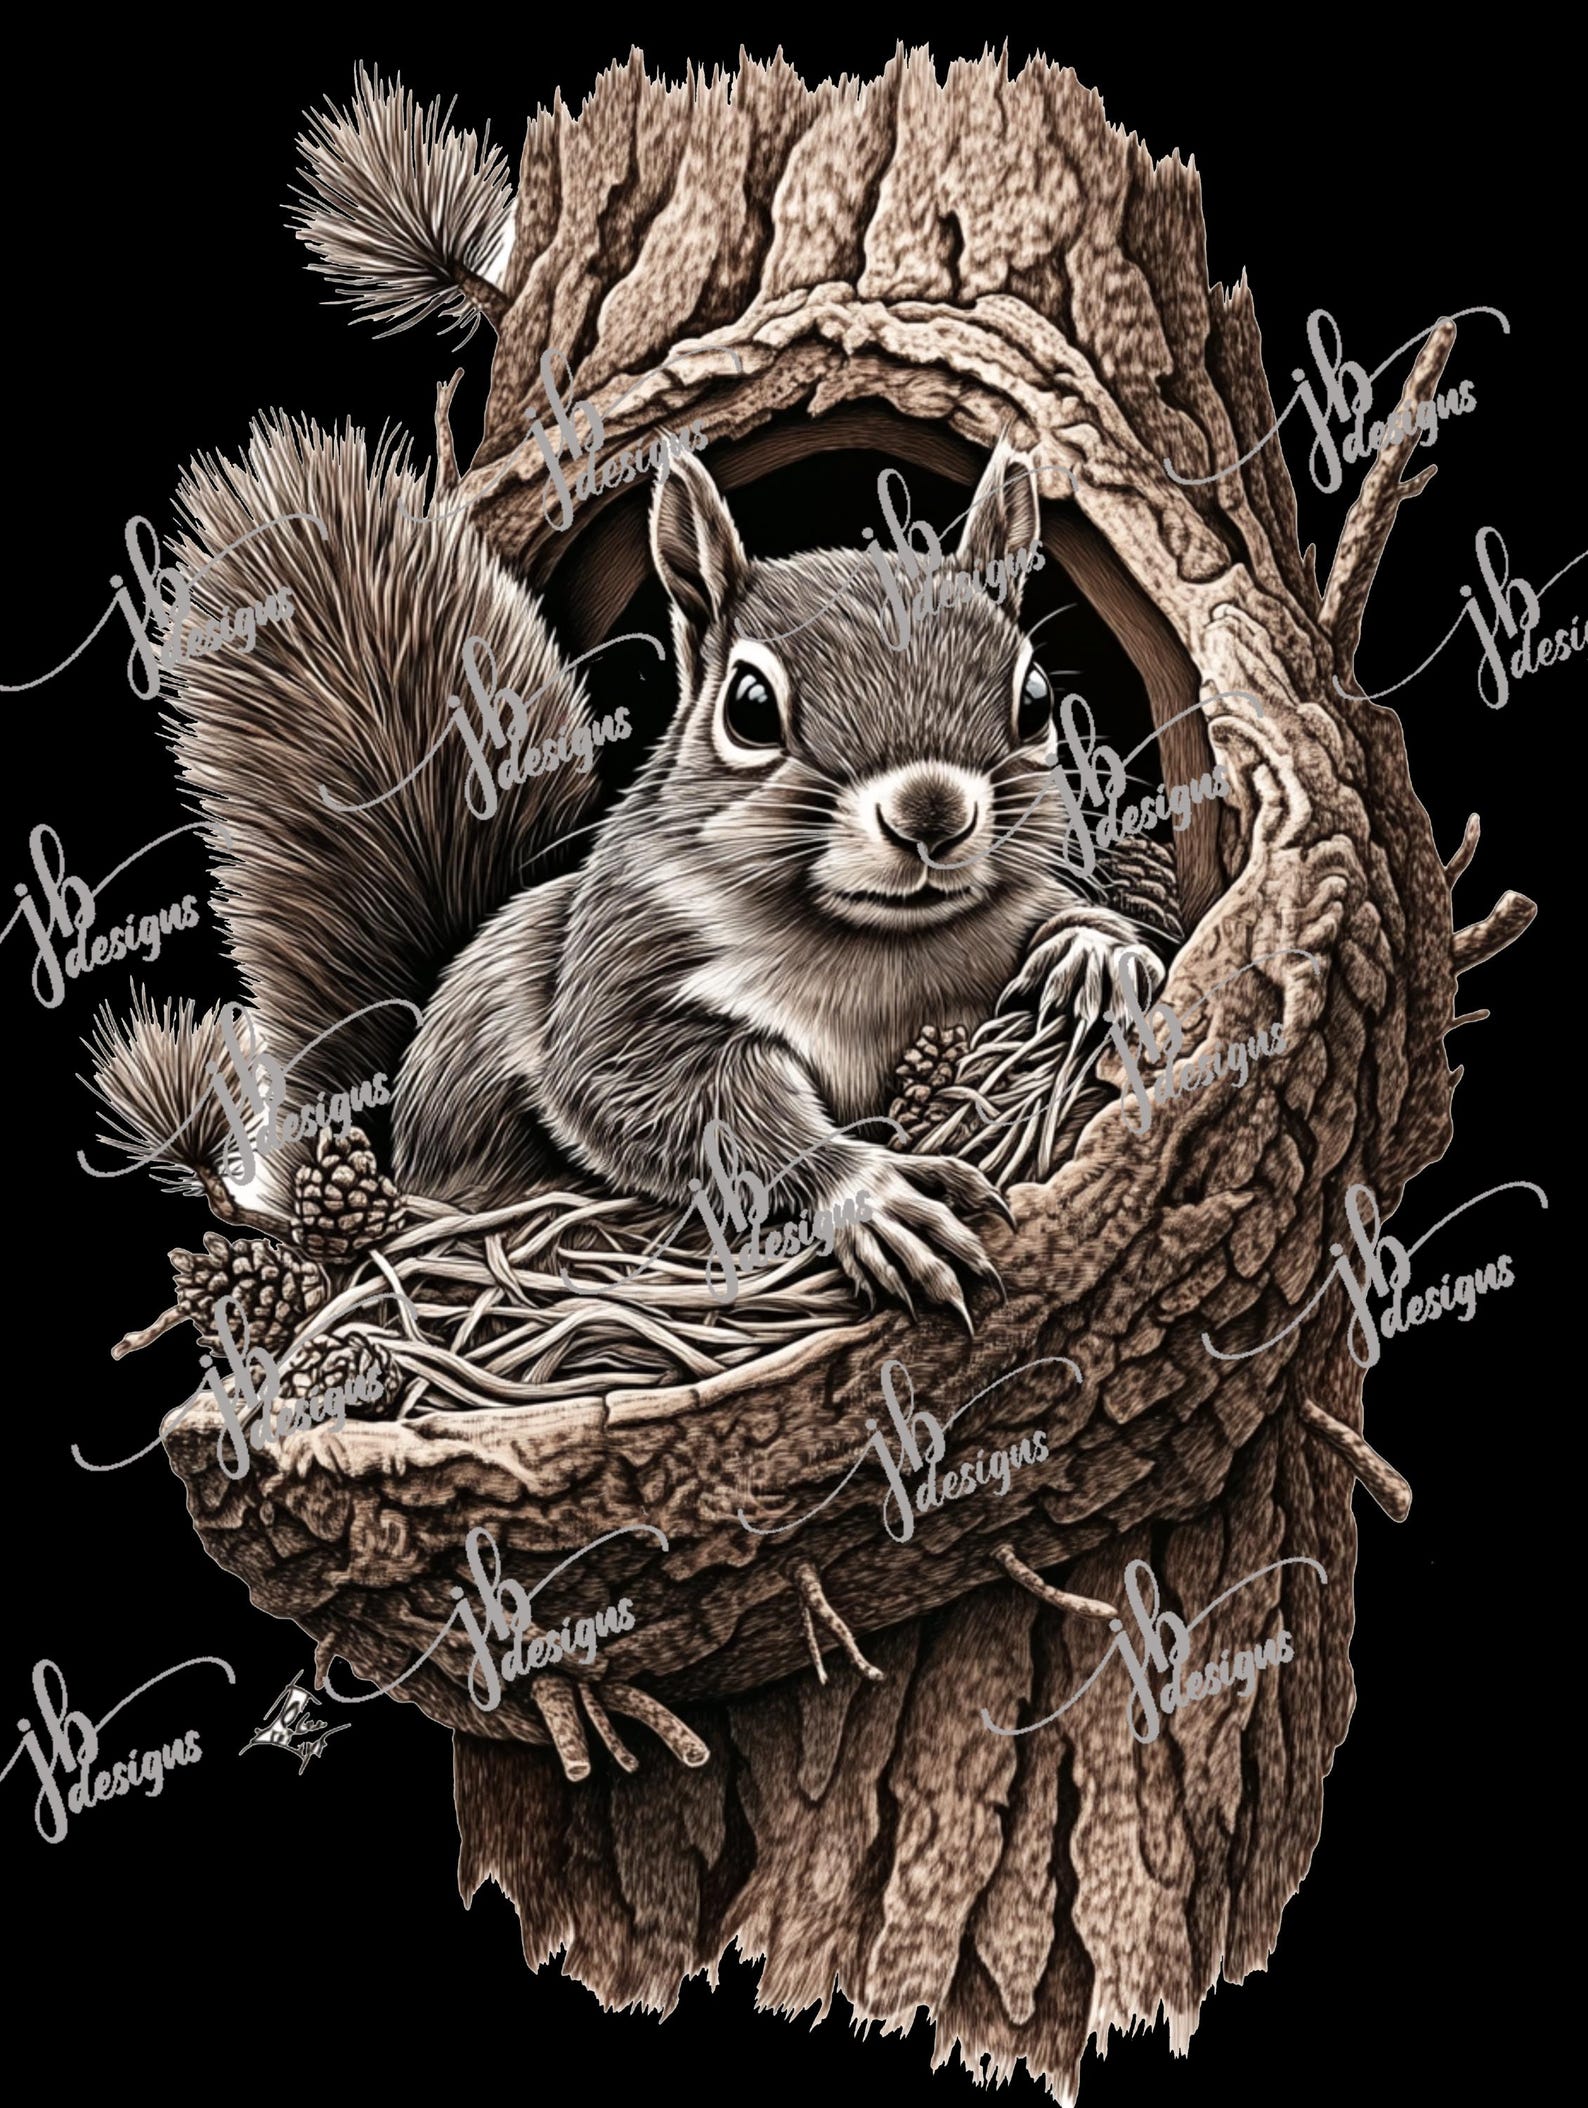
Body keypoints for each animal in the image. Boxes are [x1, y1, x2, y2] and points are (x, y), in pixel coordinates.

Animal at [166, 422, 1166, 1317]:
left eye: (1035, 698)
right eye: (750, 706)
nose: (932, 814)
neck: (879, 949)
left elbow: (1055, 916)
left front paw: (1094, 951)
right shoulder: (619, 971)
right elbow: (653, 1093)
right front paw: (873, 1192)